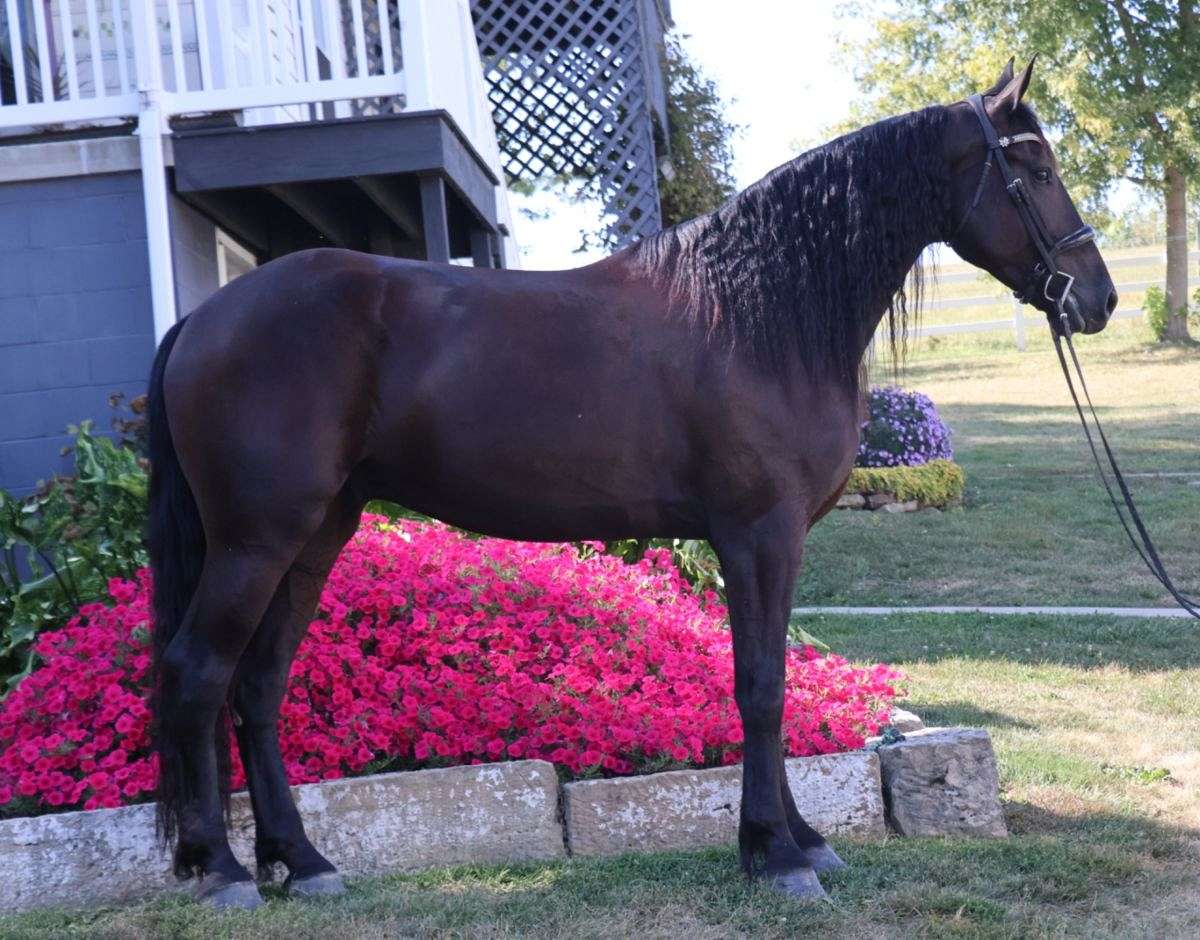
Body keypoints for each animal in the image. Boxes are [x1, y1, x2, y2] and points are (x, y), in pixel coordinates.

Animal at [146, 58, 1117, 908]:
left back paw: (302, 861)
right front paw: (775, 856)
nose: (1097, 298)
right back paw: (223, 870)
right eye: (1034, 167)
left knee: (257, 687)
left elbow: (766, 682)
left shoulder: (770, 542)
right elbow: (762, 688)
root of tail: (205, 317)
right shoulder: (759, 534)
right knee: (198, 673)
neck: (759, 315)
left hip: (315, 537)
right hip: (257, 541)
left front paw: (799, 841)